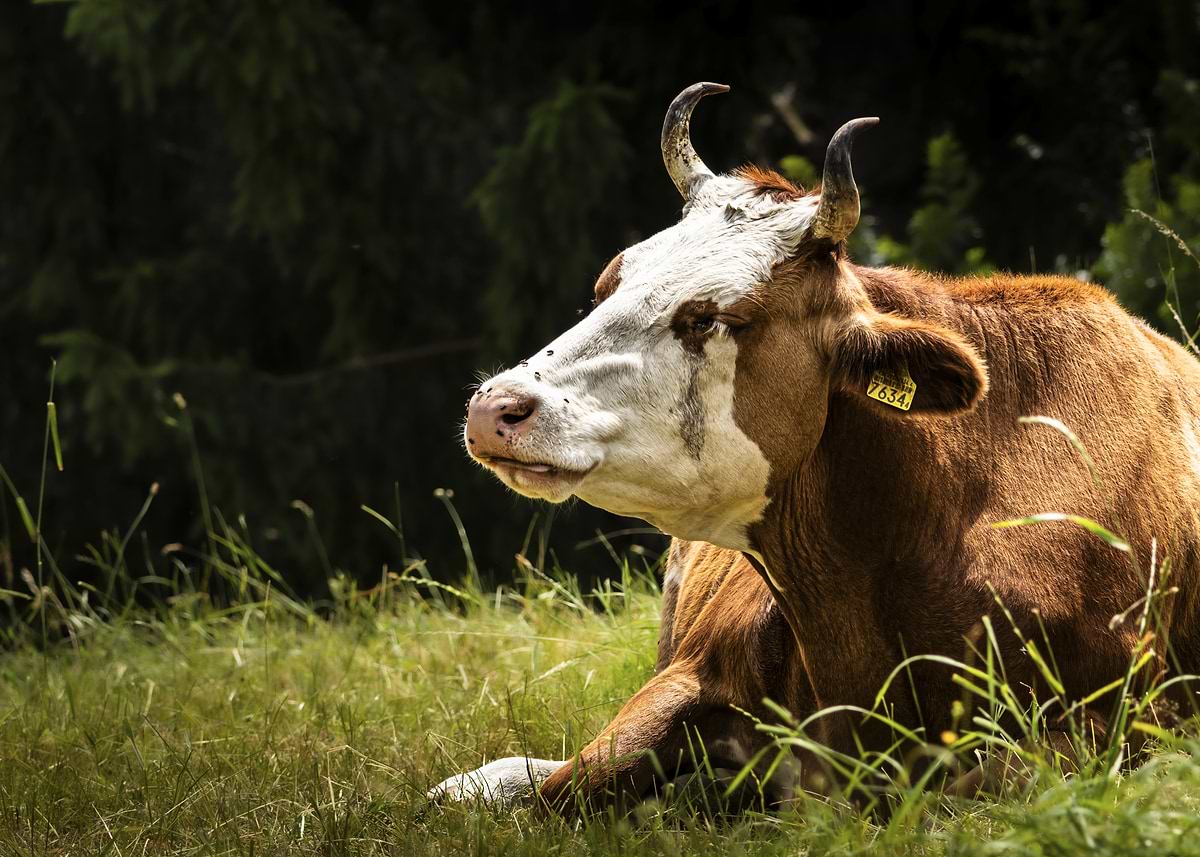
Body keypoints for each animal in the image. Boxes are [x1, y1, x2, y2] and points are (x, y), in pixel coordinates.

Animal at [434, 82, 1200, 814]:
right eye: (606, 286)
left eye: (710, 318)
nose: (496, 408)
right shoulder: (686, 675)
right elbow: (560, 789)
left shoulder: (1120, 726)